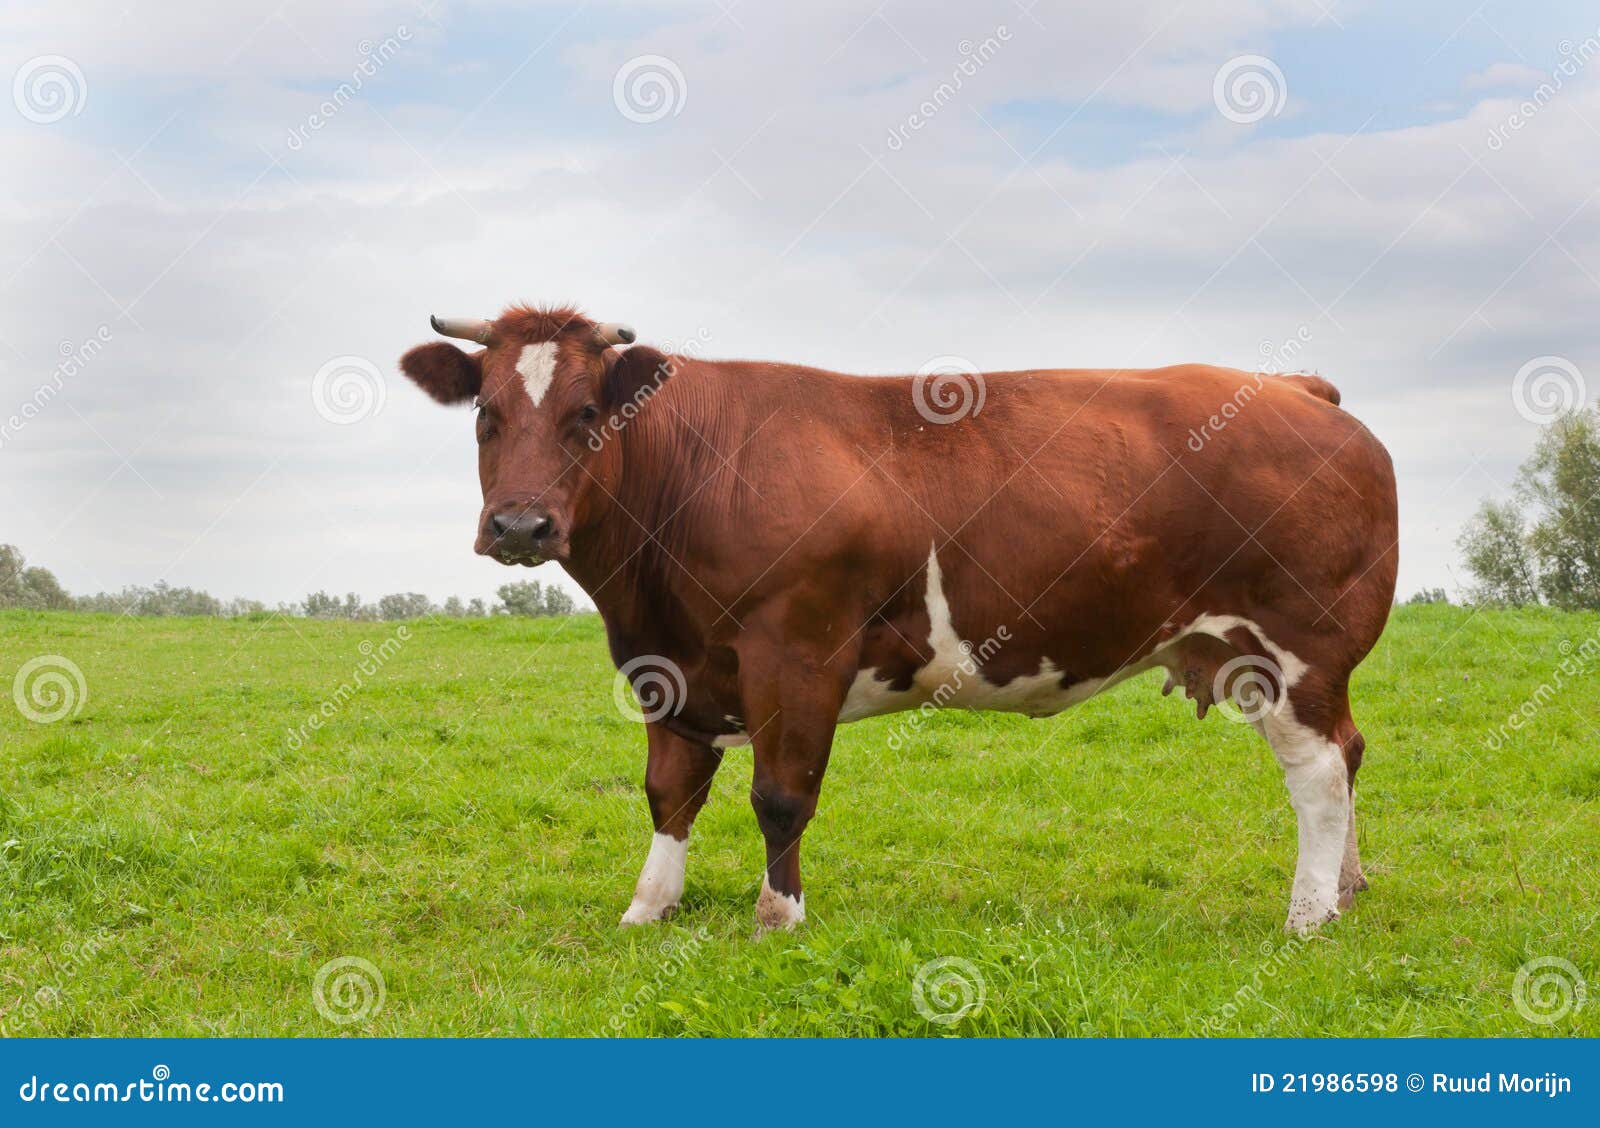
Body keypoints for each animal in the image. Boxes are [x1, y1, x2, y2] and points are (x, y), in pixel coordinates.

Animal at [399, 305, 1398, 935]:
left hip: (1300, 645)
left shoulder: (796, 651)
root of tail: (1295, 388)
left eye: (586, 412)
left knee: (1317, 771)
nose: (520, 525)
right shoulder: (666, 664)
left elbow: (780, 795)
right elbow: (670, 791)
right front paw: (650, 908)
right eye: (487, 413)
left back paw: (1307, 916)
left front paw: (779, 917)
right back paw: (1348, 893)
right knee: (1348, 754)